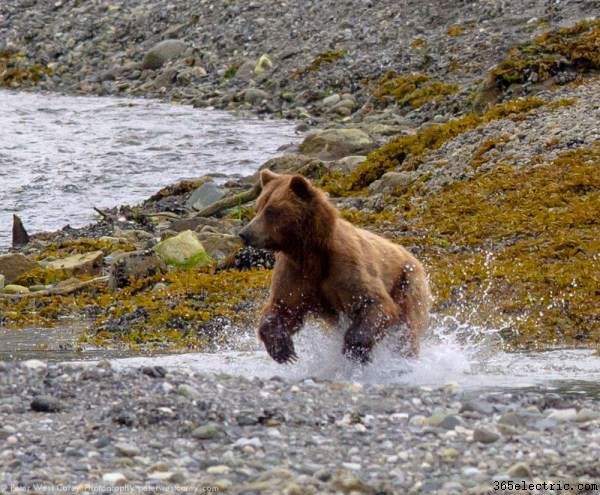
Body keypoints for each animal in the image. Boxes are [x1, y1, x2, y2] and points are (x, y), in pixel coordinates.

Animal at [239, 170, 432, 364]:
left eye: (271, 211)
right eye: (258, 207)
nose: (244, 233)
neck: (311, 254)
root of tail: (410, 255)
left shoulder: (346, 265)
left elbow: (375, 302)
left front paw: (355, 348)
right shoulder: (295, 273)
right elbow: (283, 307)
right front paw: (282, 349)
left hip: (407, 283)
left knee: (407, 329)